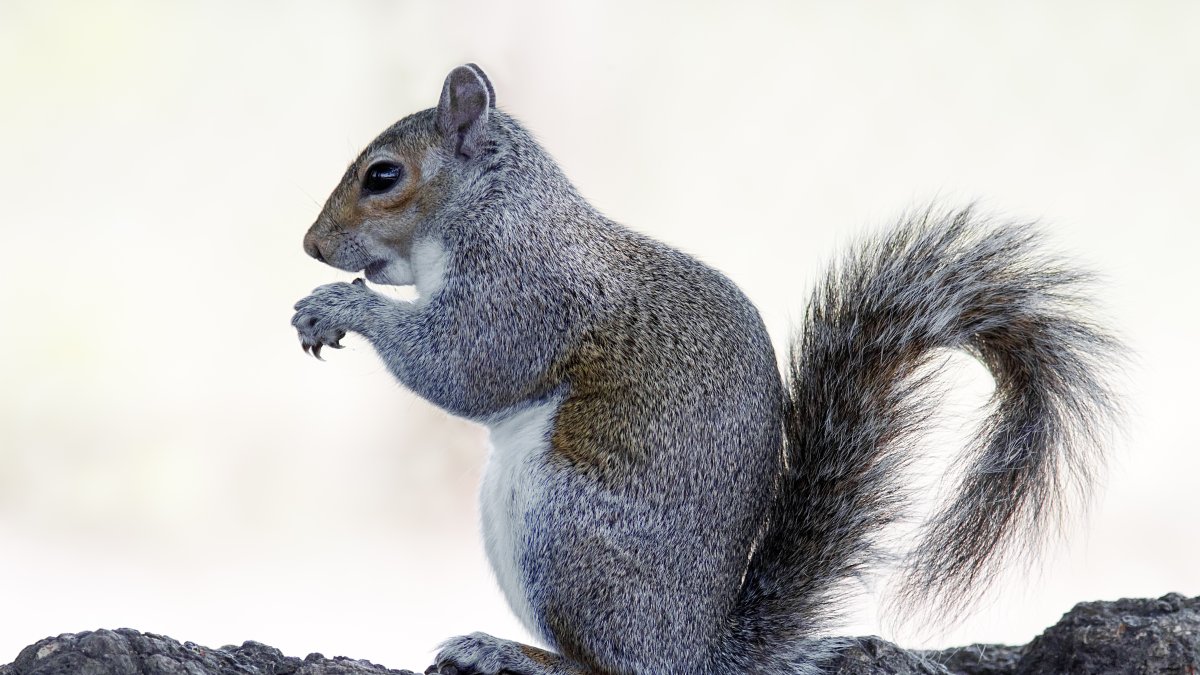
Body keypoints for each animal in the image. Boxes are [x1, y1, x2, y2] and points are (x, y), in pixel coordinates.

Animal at [291, 64, 1123, 675]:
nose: (311, 245)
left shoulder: (523, 295)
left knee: (615, 667)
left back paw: (509, 652)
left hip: (565, 532)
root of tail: (697, 649)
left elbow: (464, 367)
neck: (494, 207)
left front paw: (340, 305)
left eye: (383, 176)